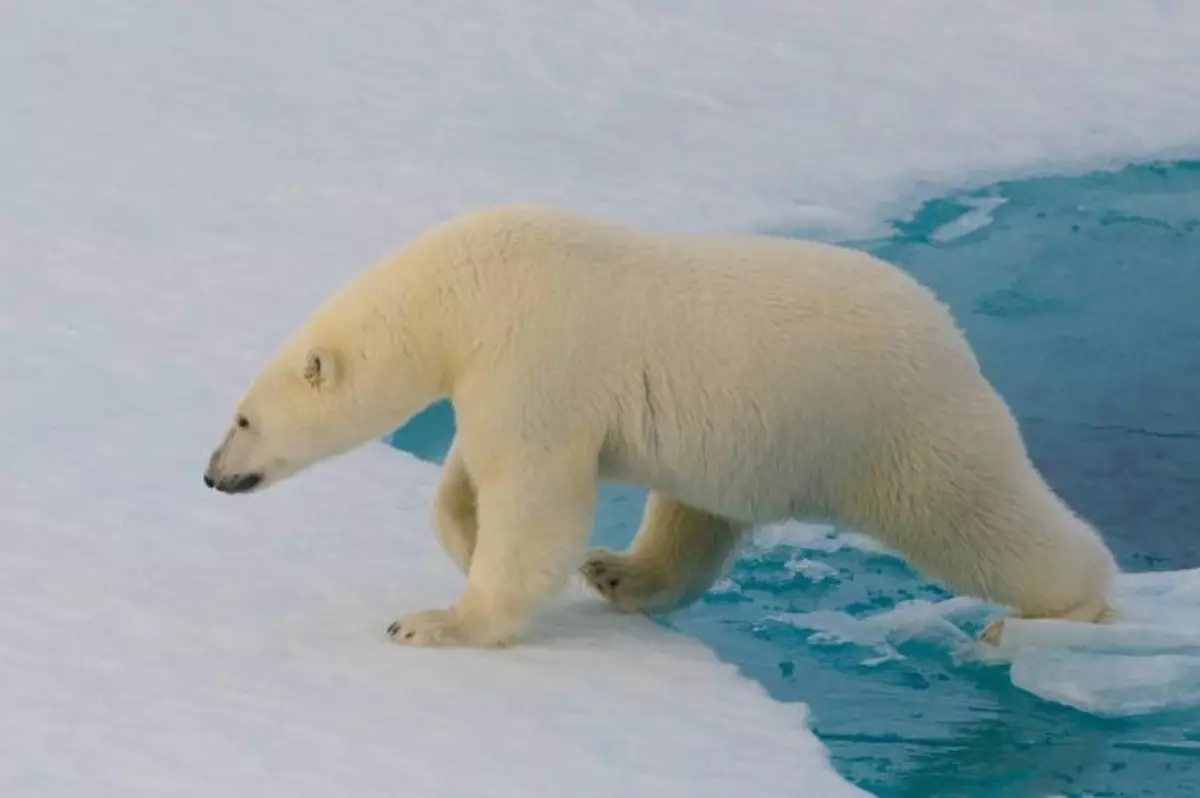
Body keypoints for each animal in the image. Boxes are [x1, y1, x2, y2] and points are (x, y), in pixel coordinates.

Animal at [204, 204, 1113, 648]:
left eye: (243, 417)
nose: (212, 473)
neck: (463, 287)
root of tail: (950, 332)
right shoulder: (494, 369)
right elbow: (471, 476)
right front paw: (468, 546)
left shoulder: (536, 347)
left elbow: (532, 492)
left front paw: (435, 621)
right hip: (751, 437)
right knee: (693, 518)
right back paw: (620, 572)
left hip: (889, 422)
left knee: (977, 517)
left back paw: (1068, 610)